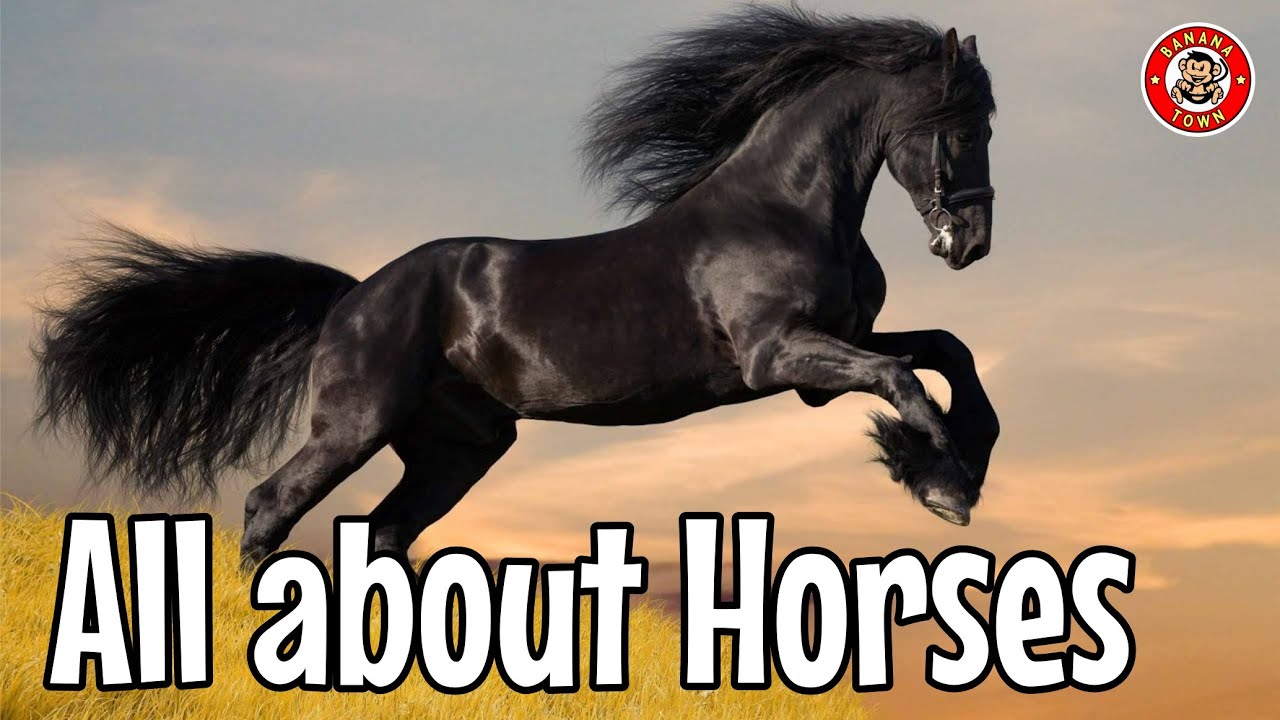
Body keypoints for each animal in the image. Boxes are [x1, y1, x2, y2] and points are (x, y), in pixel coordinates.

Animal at [33, 7, 999, 569]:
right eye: (960, 128)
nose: (973, 244)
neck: (785, 208)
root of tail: (351, 298)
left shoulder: (825, 358)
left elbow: (948, 354)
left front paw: (959, 467)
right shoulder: (779, 359)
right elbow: (906, 378)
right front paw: (942, 486)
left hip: (459, 445)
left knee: (388, 530)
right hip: (358, 423)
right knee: (274, 505)